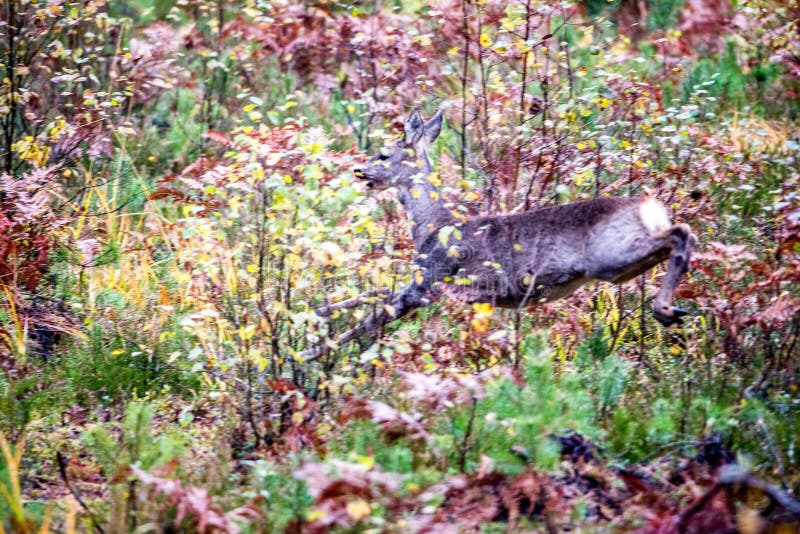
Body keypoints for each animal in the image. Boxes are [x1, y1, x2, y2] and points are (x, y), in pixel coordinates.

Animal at [306, 109, 697, 358]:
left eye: (384, 154)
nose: (359, 170)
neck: (433, 226)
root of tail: (648, 207)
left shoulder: (431, 280)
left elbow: (374, 315)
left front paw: (310, 352)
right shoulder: (428, 284)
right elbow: (369, 294)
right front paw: (318, 311)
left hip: (610, 254)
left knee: (681, 232)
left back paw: (665, 308)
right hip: (620, 264)